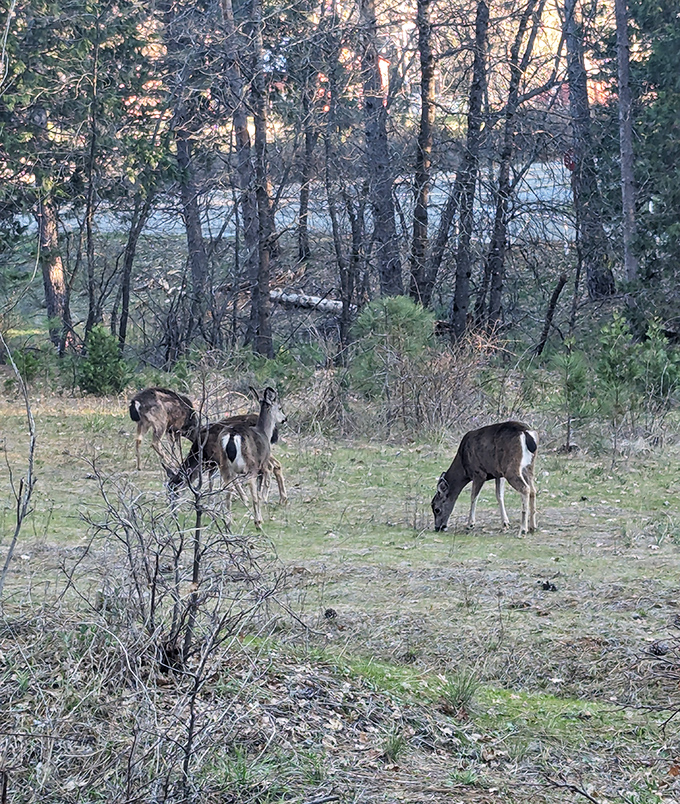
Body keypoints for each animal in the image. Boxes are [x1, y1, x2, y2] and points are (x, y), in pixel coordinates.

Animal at [217, 387, 287, 527]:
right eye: (280, 407)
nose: (284, 418)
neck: (264, 432)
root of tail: (232, 435)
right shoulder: (263, 464)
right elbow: (261, 490)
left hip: (224, 465)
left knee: (228, 489)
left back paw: (228, 521)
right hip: (251, 465)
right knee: (251, 485)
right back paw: (258, 521)